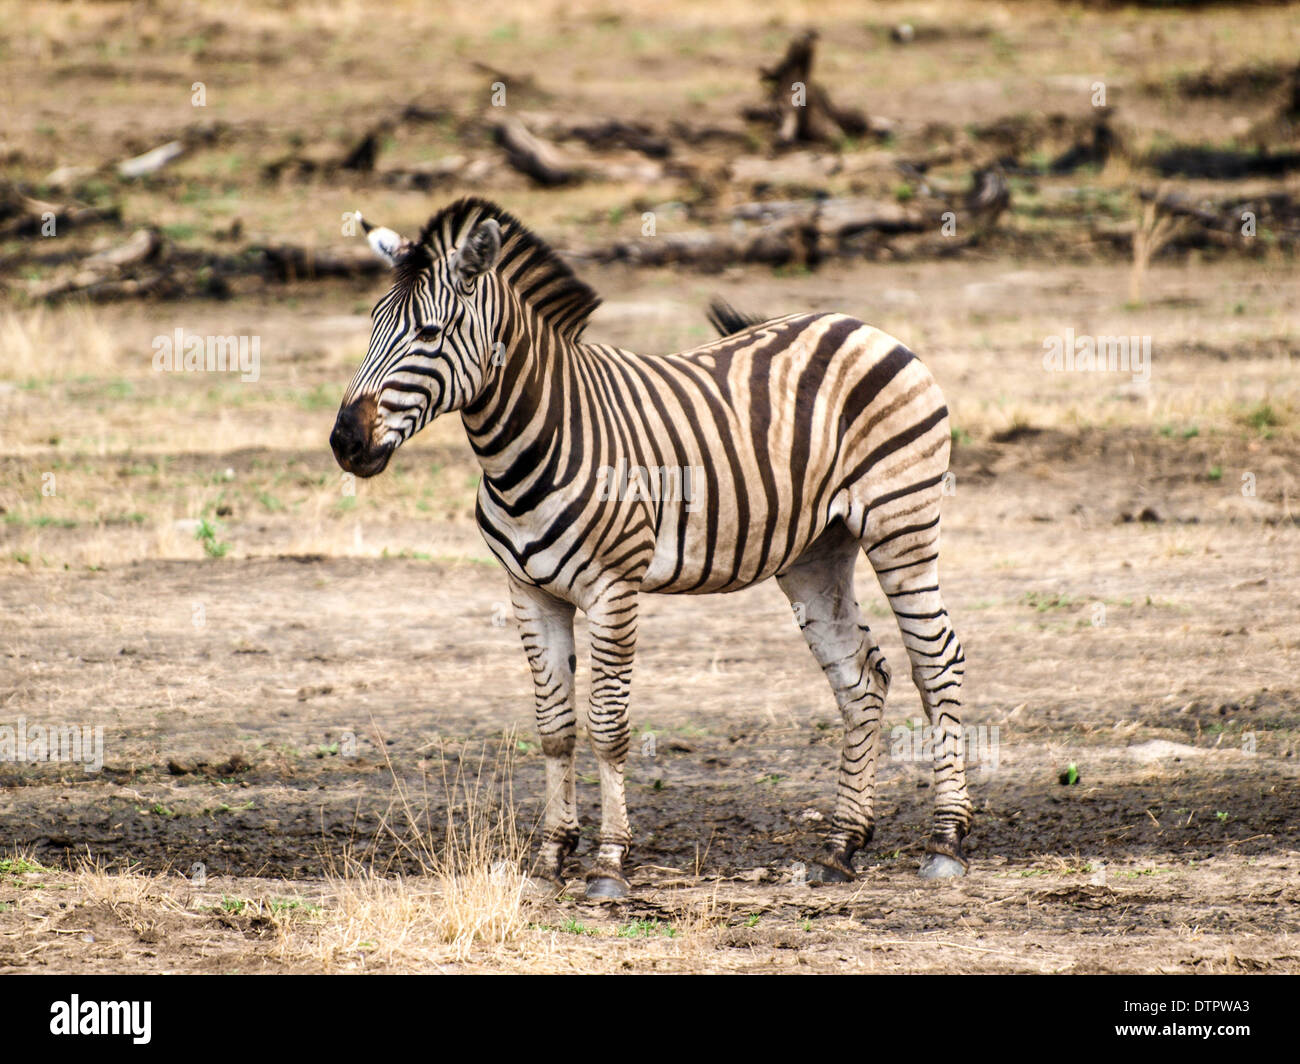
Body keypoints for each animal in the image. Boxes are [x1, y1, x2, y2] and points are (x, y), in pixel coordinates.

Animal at [330, 197, 973, 898]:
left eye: (429, 333)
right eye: (371, 324)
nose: (345, 442)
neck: (531, 442)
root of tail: (859, 325)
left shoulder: (614, 588)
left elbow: (608, 727)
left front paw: (610, 863)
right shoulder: (529, 592)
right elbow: (554, 728)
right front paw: (551, 856)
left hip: (902, 524)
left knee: (938, 662)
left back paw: (946, 842)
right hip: (815, 554)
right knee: (862, 680)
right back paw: (840, 846)